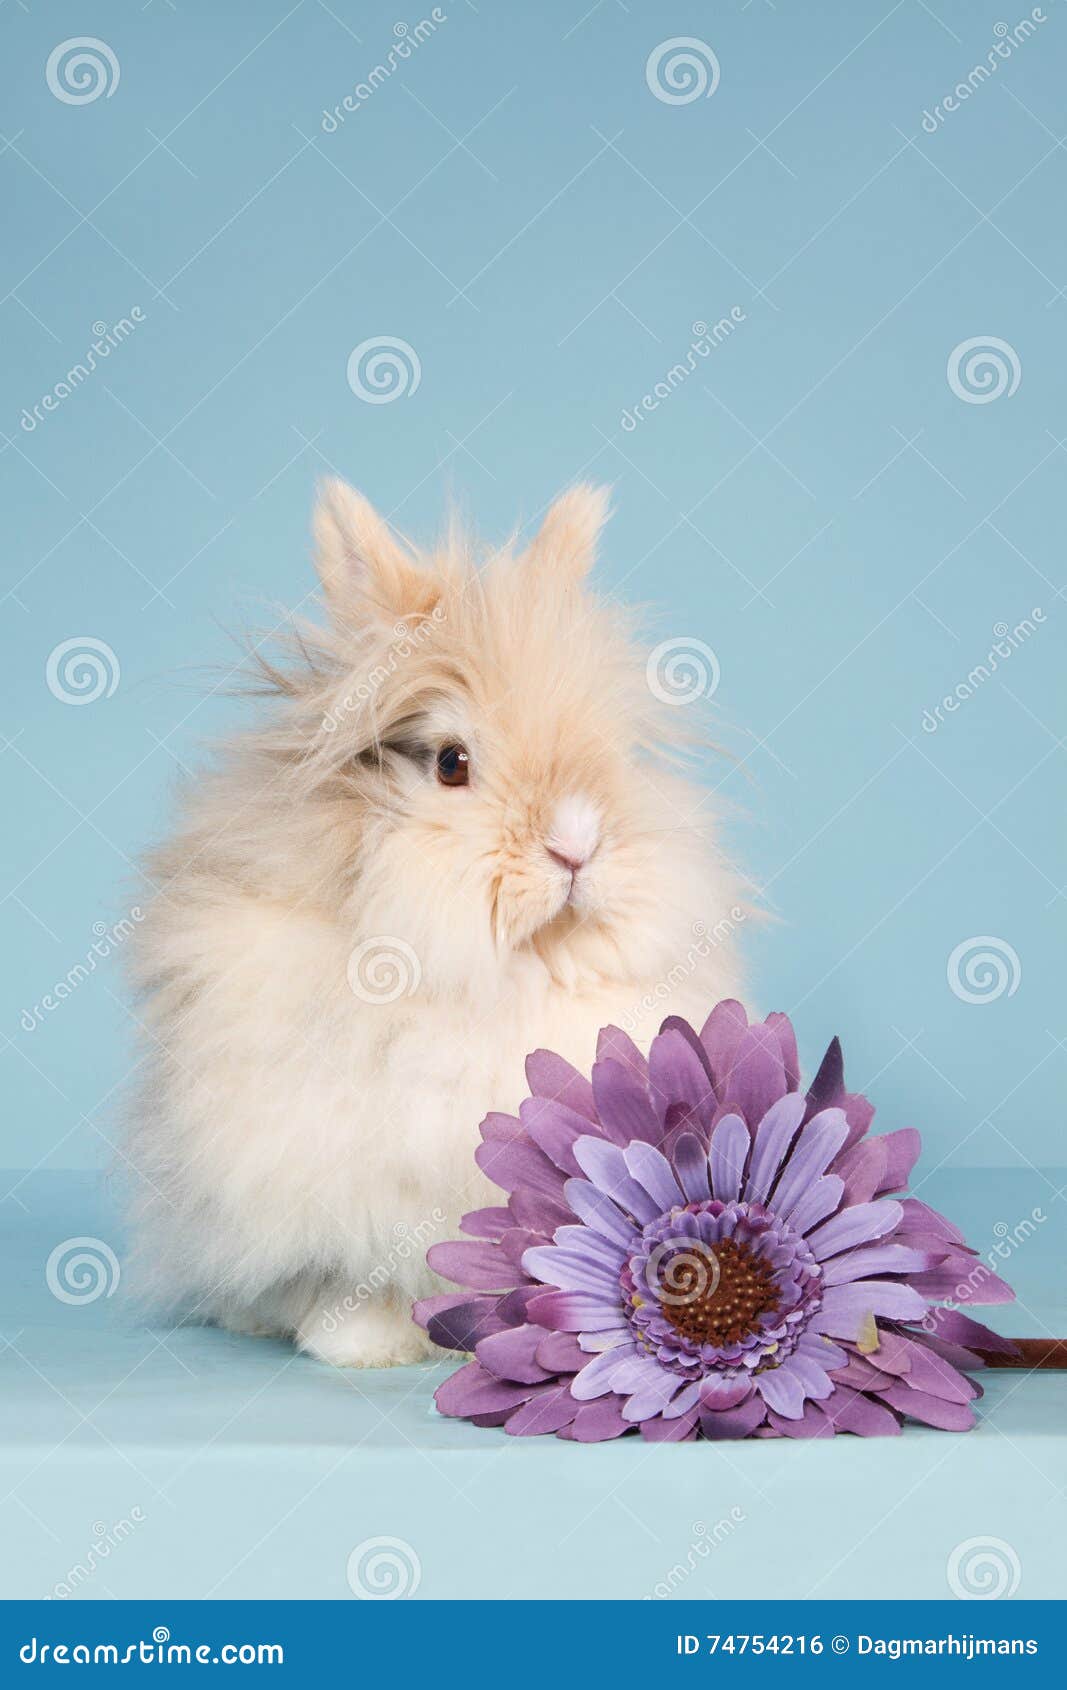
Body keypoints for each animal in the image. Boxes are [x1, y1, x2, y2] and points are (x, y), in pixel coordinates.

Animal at [123, 481, 747, 1367]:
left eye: (617, 755)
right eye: (452, 763)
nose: (578, 844)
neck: (497, 974)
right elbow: (359, 1272)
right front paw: (360, 1344)